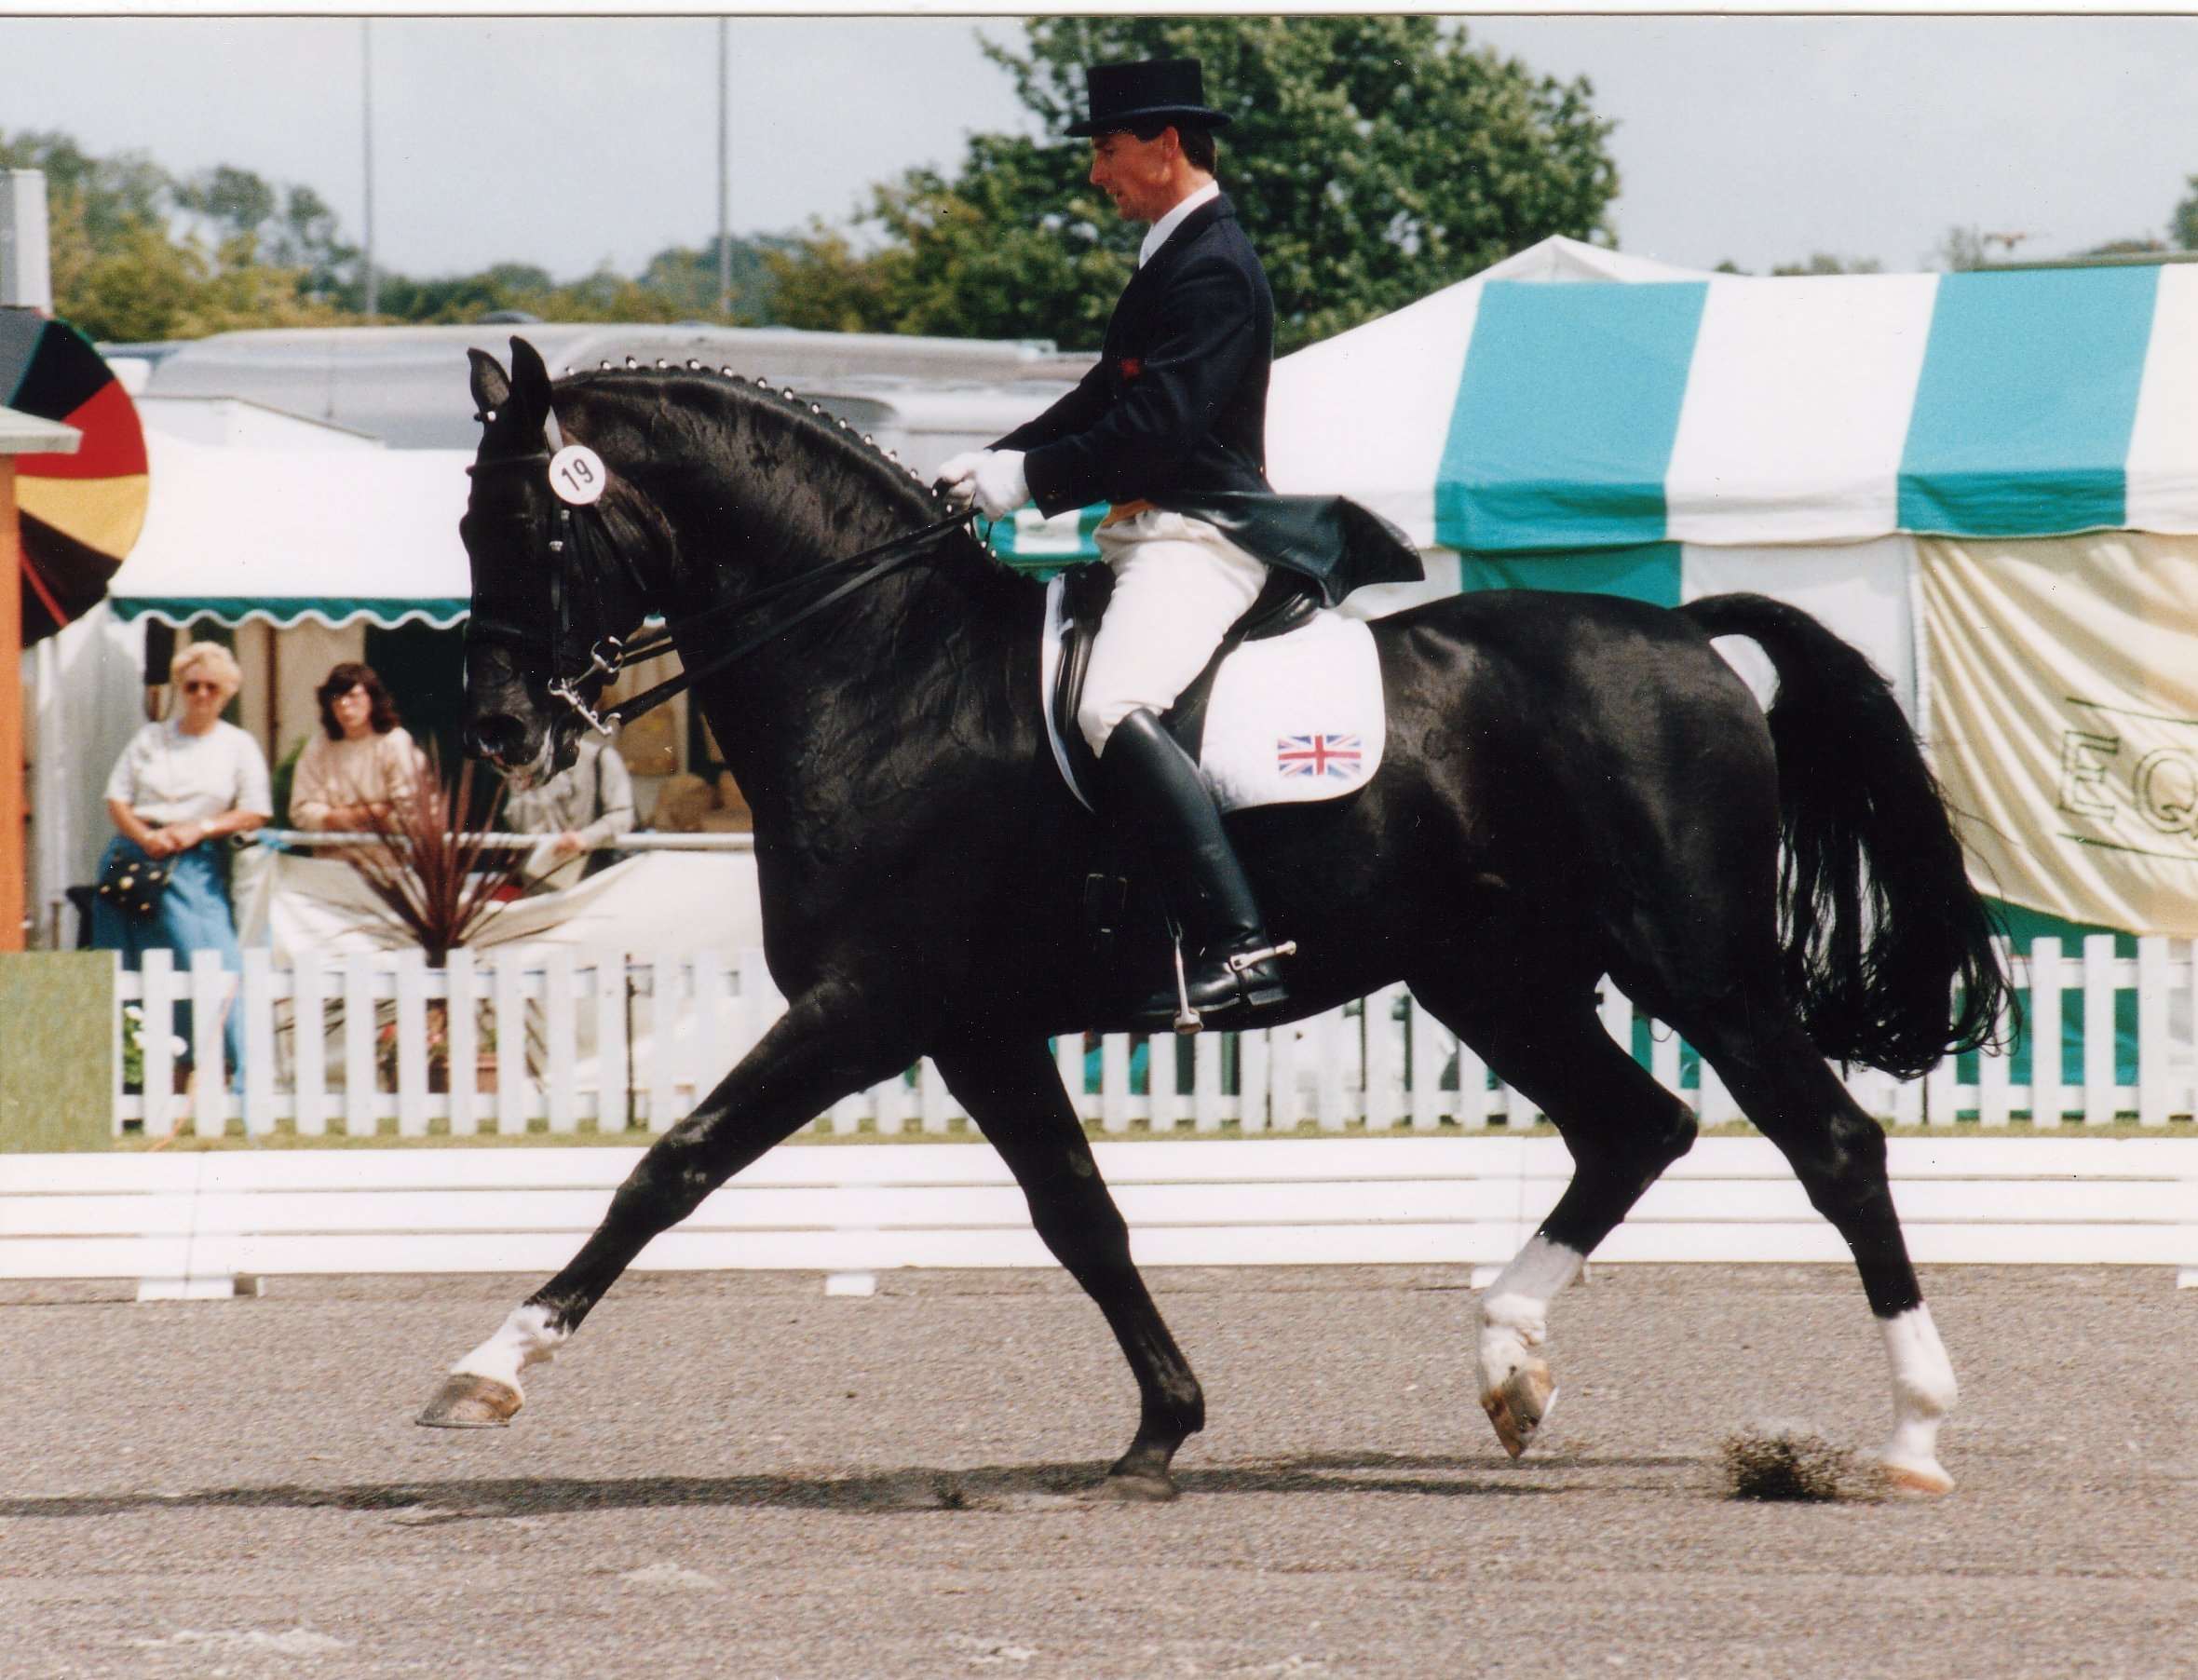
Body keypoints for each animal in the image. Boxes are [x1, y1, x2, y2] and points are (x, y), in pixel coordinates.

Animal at [422, 335, 2010, 1499]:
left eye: (525, 527)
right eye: (462, 523)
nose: (502, 733)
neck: (881, 670)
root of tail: (1684, 633)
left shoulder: (869, 1006)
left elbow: (673, 1165)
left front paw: (490, 1366)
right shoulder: (977, 1027)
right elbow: (1082, 1217)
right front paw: (1160, 1430)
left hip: (1699, 966)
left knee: (1832, 1145)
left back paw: (1914, 1437)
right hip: (1491, 977)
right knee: (1637, 1127)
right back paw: (1508, 1369)